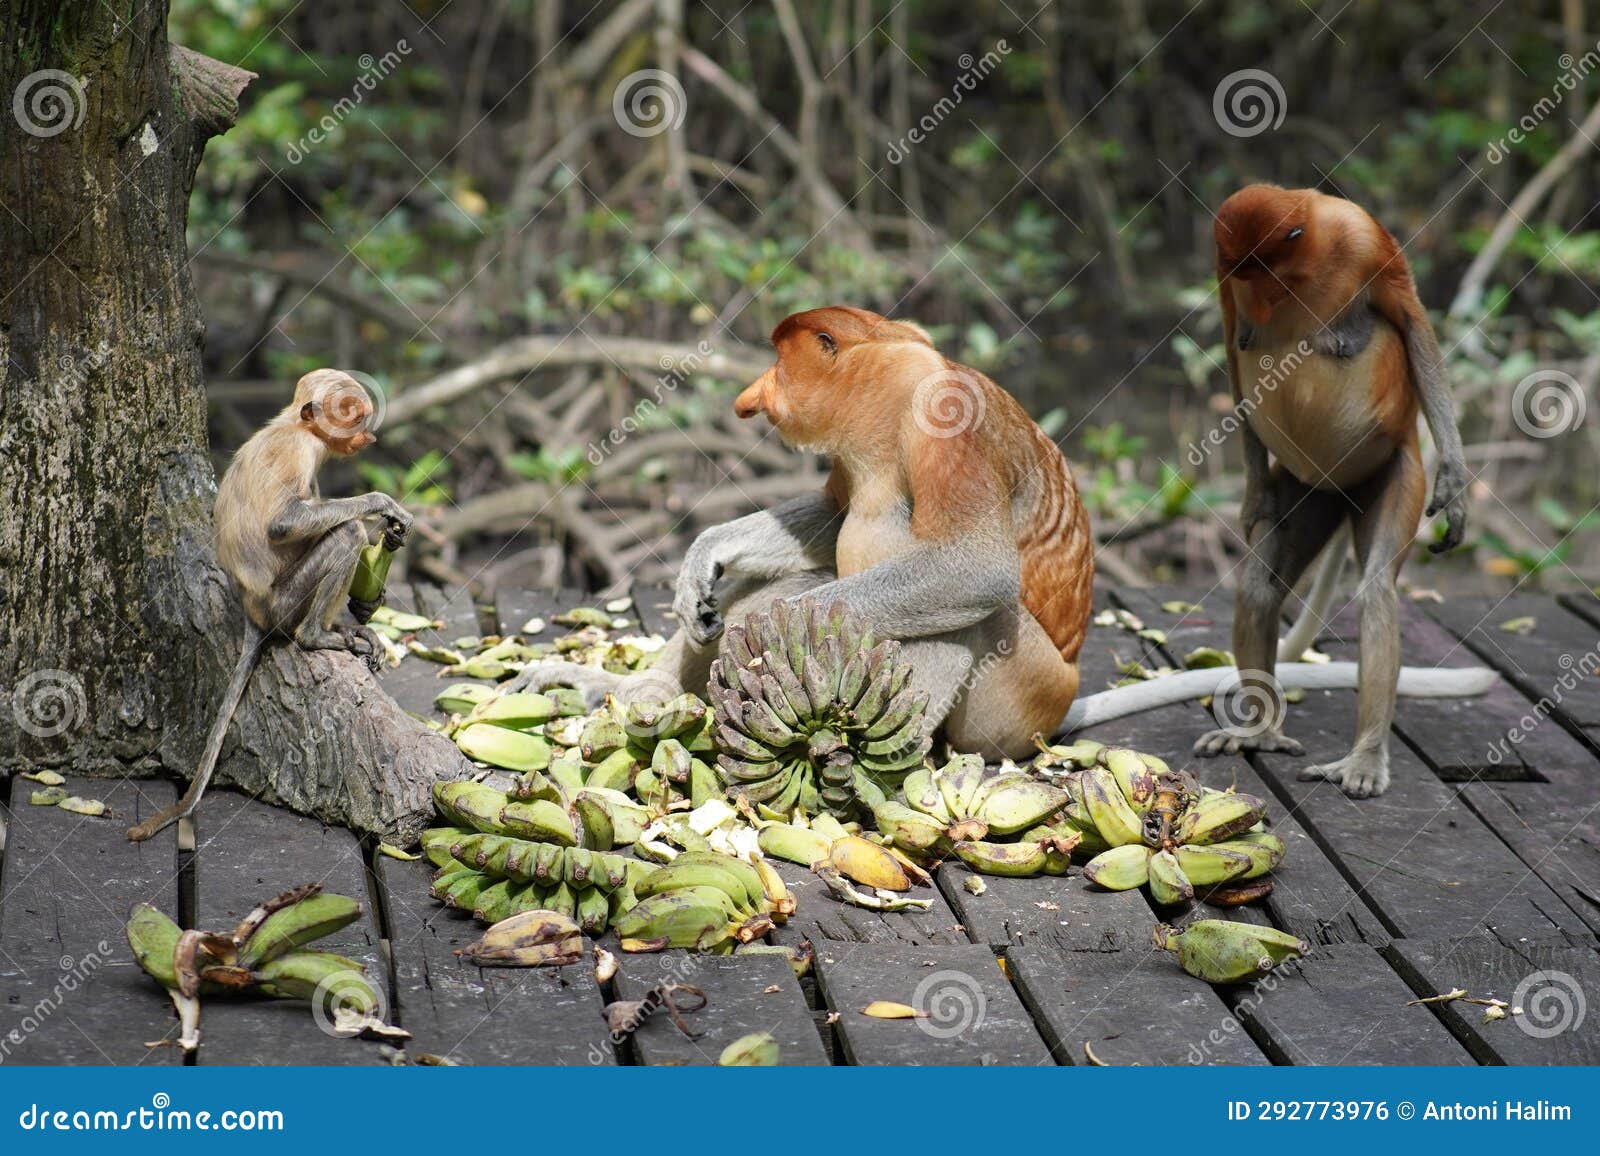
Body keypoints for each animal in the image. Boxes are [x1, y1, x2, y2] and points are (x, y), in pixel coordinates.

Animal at [127, 369, 413, 842]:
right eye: (353, 417)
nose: (367, 435)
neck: (294, 425)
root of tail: (253, 611)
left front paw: (386, 551)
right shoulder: (301, 450)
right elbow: (286, 524)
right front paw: (381, 505)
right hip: (285, 602)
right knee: (345, 532)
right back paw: (317, 636)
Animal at [505, 306, 1492, 767]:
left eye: (782, 364)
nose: (752, 398)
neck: (889, 386)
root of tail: (1064, 707)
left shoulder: (943, 425)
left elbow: (974, 570)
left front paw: (763, 633)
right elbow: (827, 525)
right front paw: (707, 560)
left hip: (1024, 693)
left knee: (969, 614)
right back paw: (631, 691)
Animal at [1182, 183, 1474, 797]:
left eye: (1267, 271)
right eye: (1243, 273)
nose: (1262, 303)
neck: (1312, 253)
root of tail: (1336, 489)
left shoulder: (1367, 240)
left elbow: (1413, 325)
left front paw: (1457, 488)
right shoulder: (1221, 273)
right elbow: (1232, 347)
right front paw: (1253, 498)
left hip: (1393, 470)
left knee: (1377, 596)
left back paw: (1363, 760)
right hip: (1306, 491)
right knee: (1258, 587)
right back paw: (1259, 732)